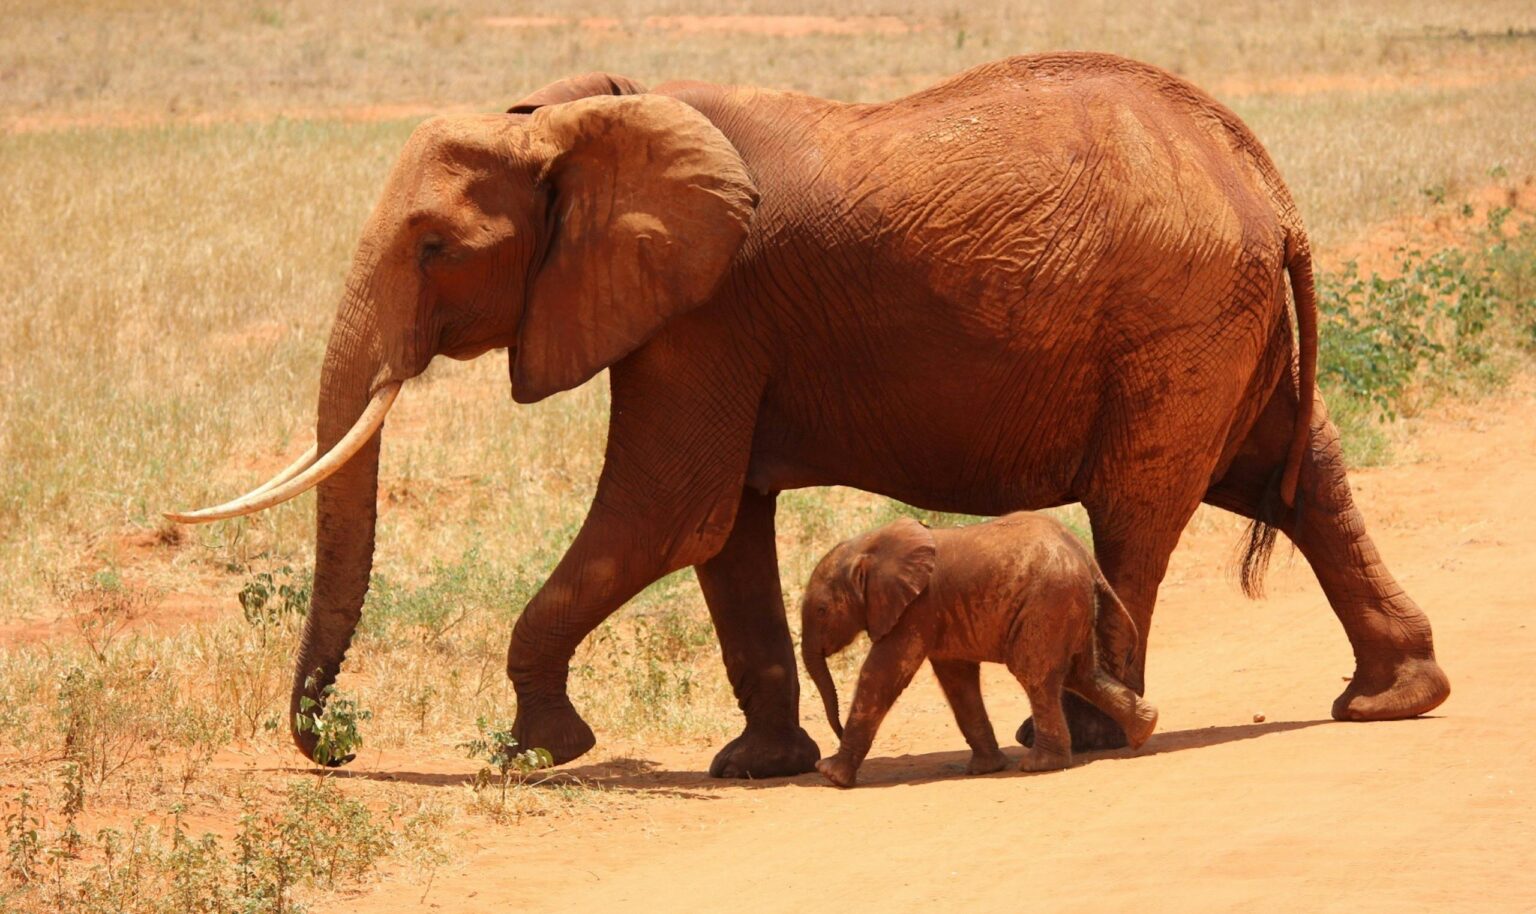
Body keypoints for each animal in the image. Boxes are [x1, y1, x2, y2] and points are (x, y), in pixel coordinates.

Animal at [801, 514, 1159, 788]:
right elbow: (957, 681)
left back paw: (1040, 765)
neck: (868, 547)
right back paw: (1145, 729)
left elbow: (881, 675)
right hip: (1068, 605)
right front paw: (986, 768)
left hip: (1047, 604)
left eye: (821, 610)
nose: (836, 730)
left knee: (1036, 676)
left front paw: (831, 775)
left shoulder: (916, 609)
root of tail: (1084, 556)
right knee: (1082, 674)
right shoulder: (938, 615)